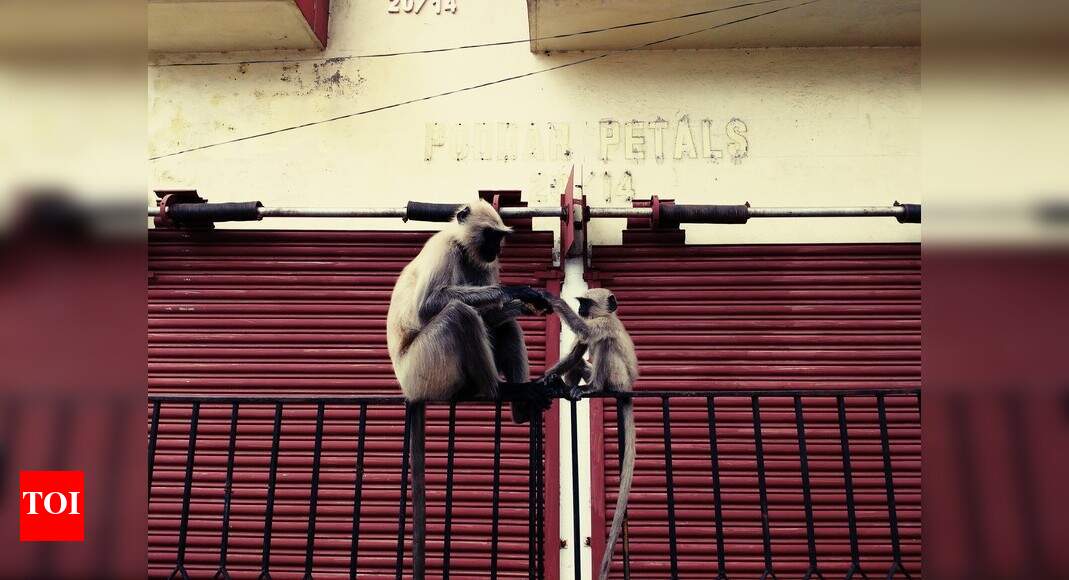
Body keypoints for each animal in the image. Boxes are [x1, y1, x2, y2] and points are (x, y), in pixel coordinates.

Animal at [386, 199, 566, 424]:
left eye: (499, 237)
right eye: (490, 235)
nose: (497, 249)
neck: (461, 246)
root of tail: (407, 389)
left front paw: (526, 304)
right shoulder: (445, 247)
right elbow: (426, 306)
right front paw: (516, 292)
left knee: (505, 325)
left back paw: (521, 409)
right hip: (421, 371)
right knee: (459, 313)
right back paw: (501, 390)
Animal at [546, 288, 639, 580]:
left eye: (585, 304)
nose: (581, 310)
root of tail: (628, 388)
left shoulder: (604, 324)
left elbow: (587, 331)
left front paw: (550, 299)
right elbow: (577, 350)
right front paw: (545, 378)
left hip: (617, 379)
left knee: (605, 347)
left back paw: (593, 388)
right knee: (579, 362)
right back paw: (564, 387)